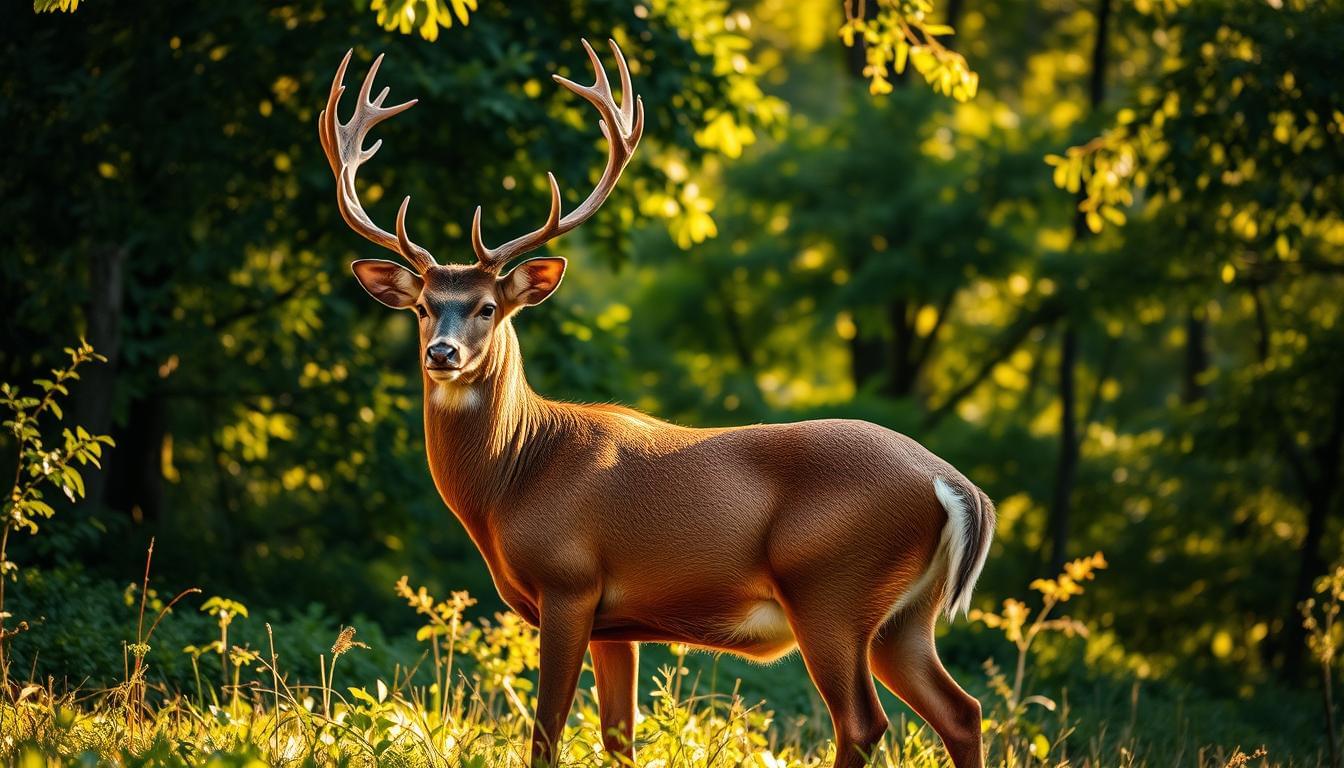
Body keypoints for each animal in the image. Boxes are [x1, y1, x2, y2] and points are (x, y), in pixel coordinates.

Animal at [319, 40, 995, 768]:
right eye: (421, 307)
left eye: (487, 307)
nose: (441, 353)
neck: (515, 475)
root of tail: (954, 484)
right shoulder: (619, 622)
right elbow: (619, 738)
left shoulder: (569, 583)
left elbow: (546, 733)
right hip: (903, 616)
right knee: (961, 711)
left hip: (831, 589)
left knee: (864, 723)